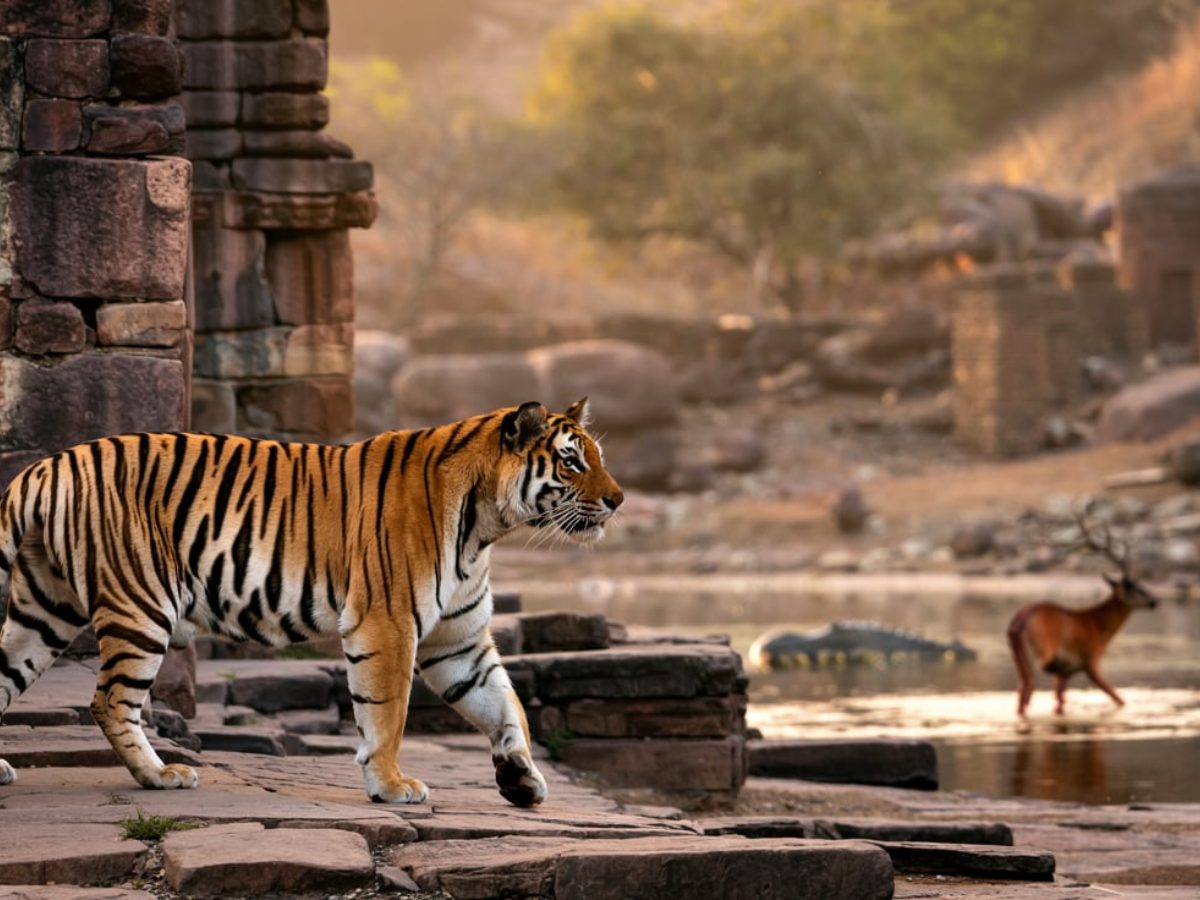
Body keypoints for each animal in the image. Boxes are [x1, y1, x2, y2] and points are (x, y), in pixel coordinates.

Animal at [0, 398, 623, 808]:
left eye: (596, 455)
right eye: (572, 461)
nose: (618, 500)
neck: (486, 525)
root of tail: (42, 466)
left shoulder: (459, 641)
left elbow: (504, 705)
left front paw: (522, 778)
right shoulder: (387, 623)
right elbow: (387, 712)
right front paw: (392, 785)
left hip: (43, 612)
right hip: (140, 605)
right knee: (109, 701)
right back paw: (160, 776)